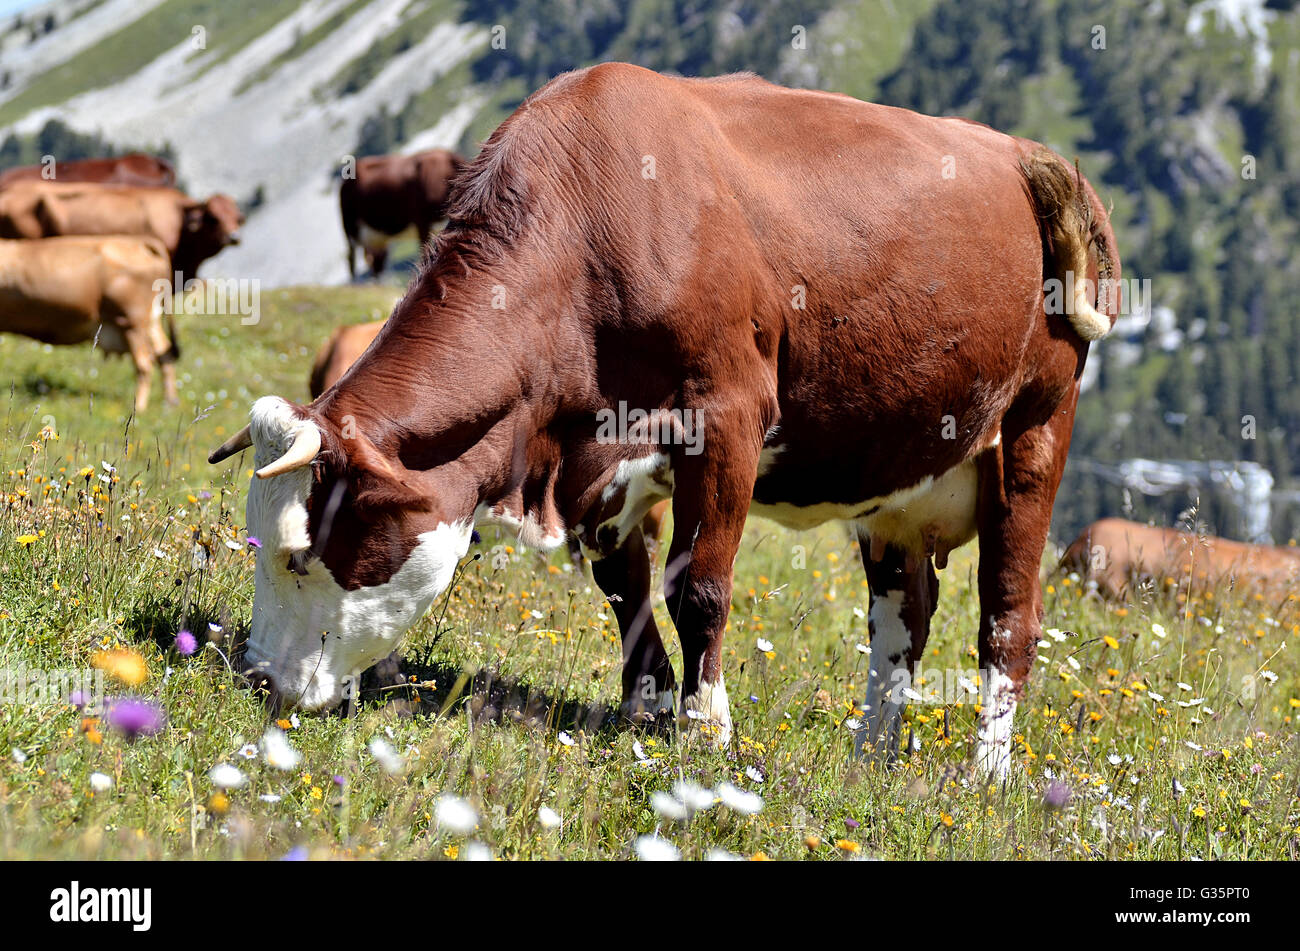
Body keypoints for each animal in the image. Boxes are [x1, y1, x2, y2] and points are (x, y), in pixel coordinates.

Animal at [0, 235, 178, 410]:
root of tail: (140, 243)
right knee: (164, 354)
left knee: (144, 364)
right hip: (149, 321)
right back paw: (169, 402)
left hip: (132, 323)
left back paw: (139, 407)